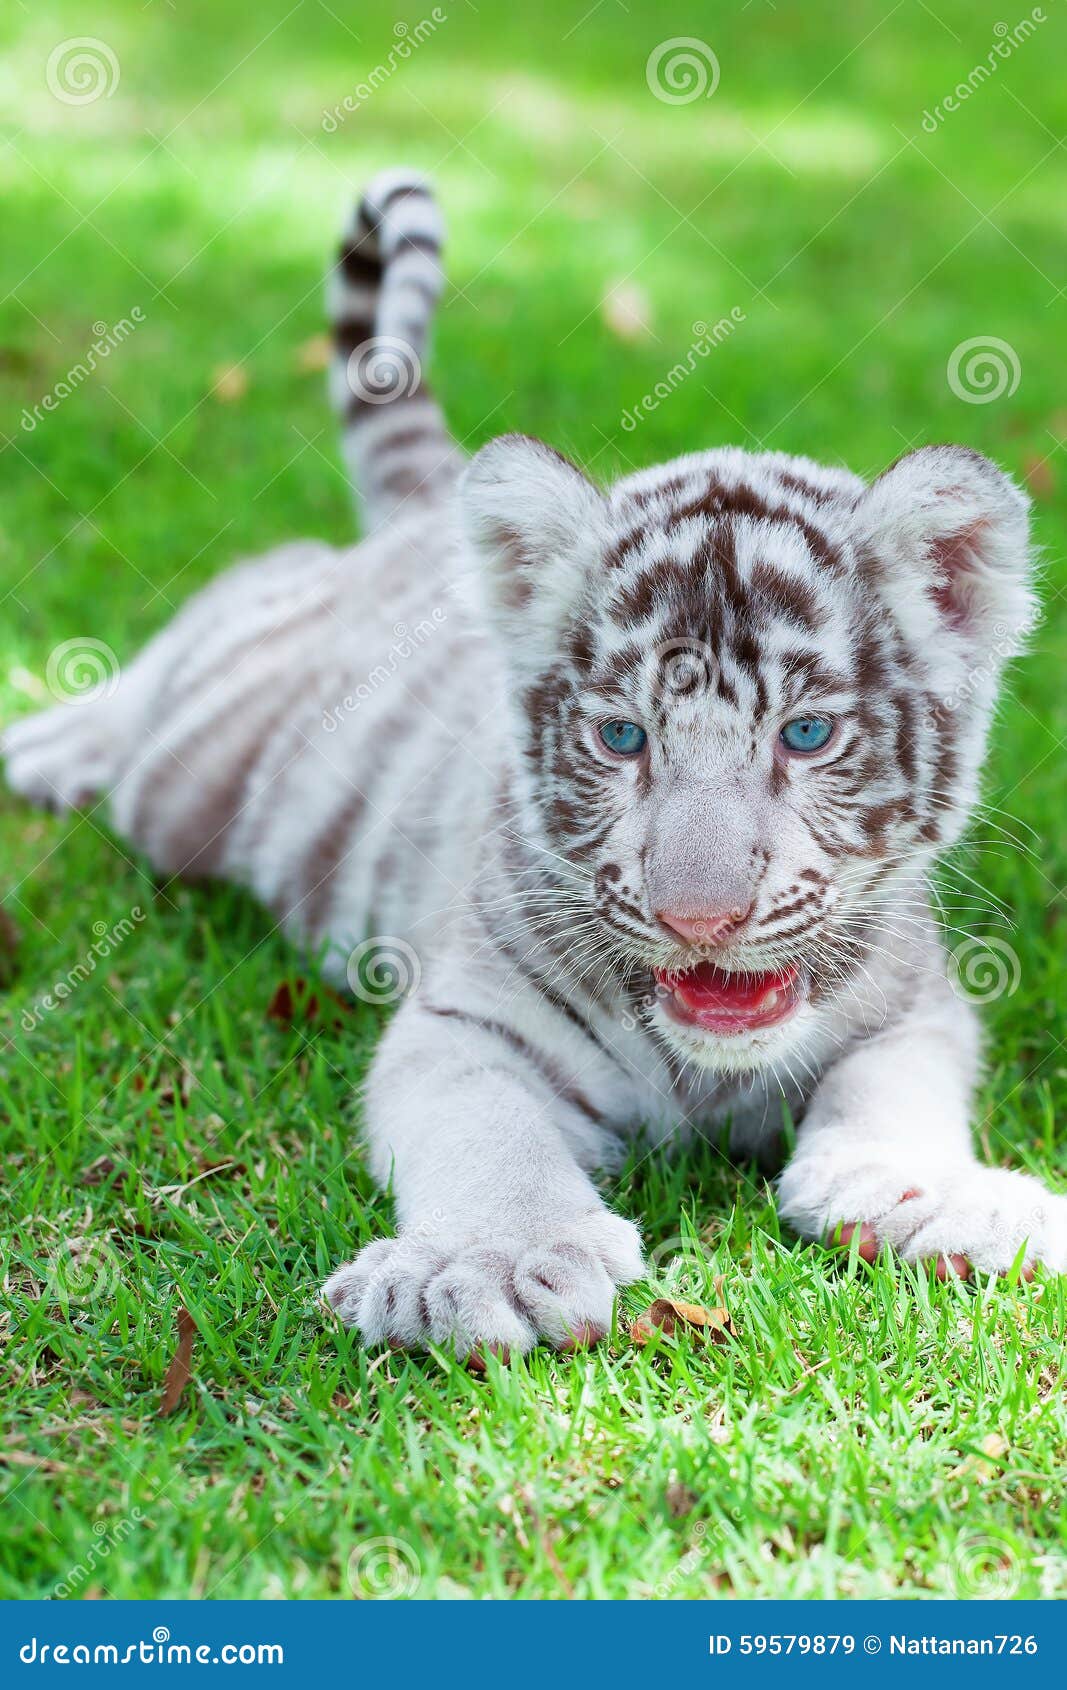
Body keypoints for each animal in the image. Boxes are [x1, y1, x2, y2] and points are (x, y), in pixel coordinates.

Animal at [5, 170, 1065, 1359]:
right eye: (621, 737)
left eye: (804, 735)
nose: (700, 919)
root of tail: (427, 519)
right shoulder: (468, 1022)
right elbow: (490, 1135)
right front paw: (489, 1263)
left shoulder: (918, 1006)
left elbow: (892, 1094)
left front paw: (935, 1194)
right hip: (194, 764)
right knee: (229, 605)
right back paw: (53, 738)